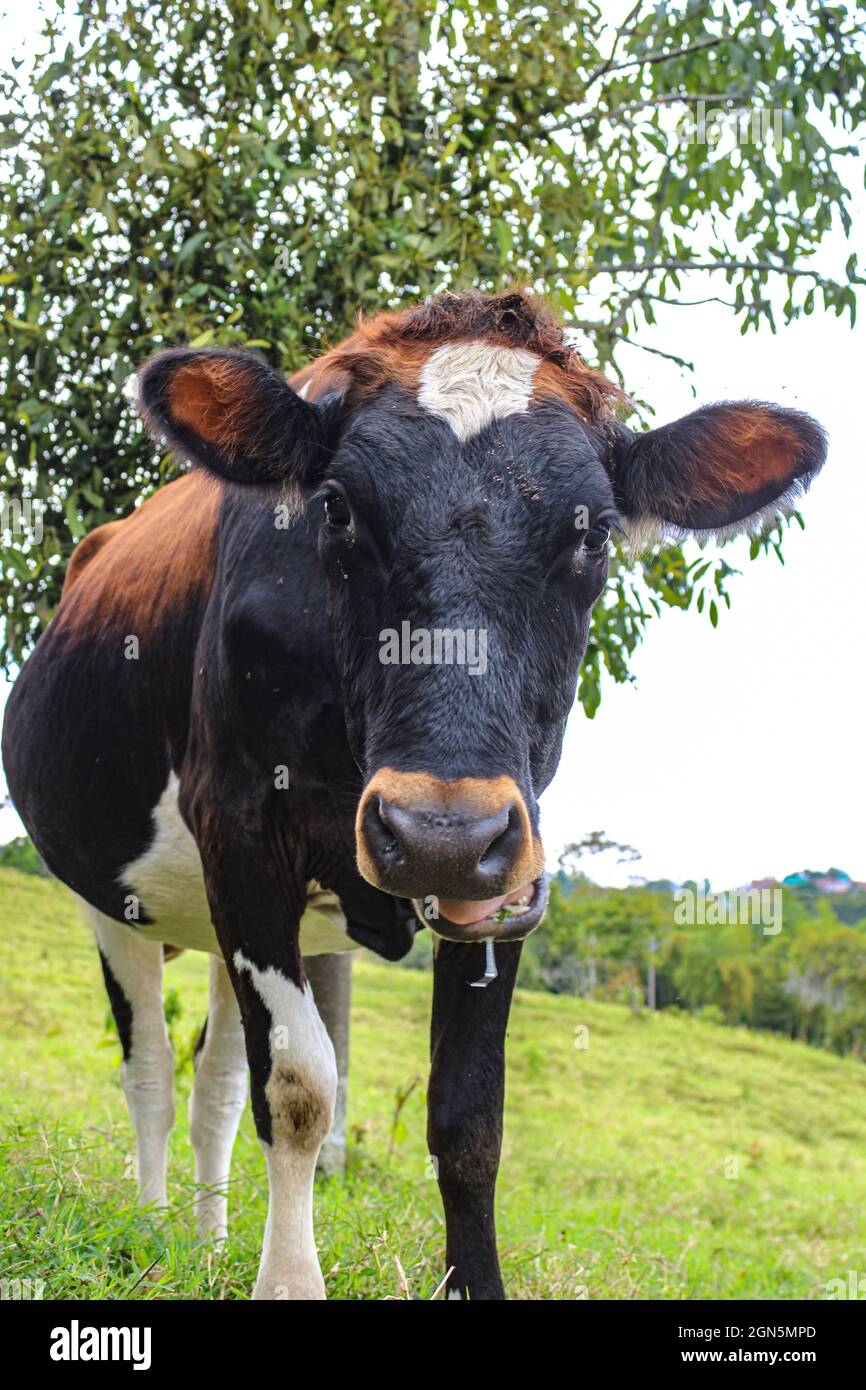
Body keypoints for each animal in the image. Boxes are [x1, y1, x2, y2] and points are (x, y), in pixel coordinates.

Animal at [1, 290, 826, 1300]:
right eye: (337, 510)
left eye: (593, 531)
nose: (436, 832)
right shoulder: (242, 827)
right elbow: (300, 1089)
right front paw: (287, 1283)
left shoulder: (506, 860)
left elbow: (467, 1115)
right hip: (112, 894)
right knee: (152, 1068)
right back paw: (155, 1230)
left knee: (215, 1079)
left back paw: (205, 1242)